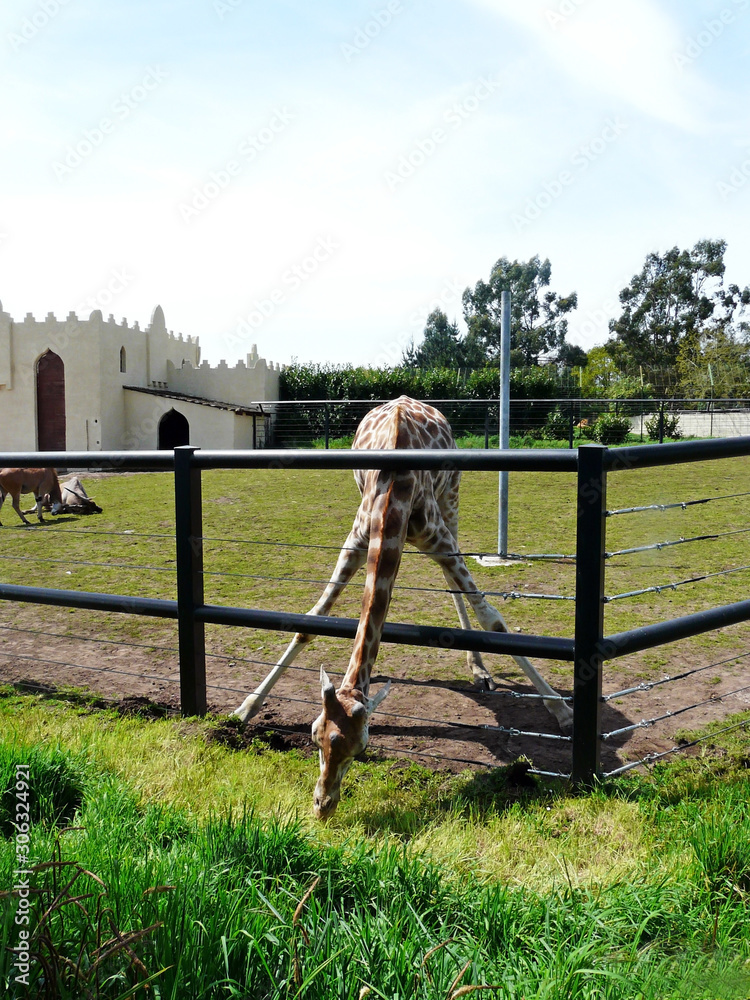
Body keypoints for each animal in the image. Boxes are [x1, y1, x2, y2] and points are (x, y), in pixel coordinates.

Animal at [234, 396, 573, 819]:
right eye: (314, 735)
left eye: (361, 748)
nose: (322, 806)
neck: (394, 489)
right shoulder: (357, 539)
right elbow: (312, 619)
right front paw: (245, 708)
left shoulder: (437, 536)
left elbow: (492, 619)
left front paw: (562, 711)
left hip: (451, 498)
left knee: (455, 583)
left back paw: (480, 670)